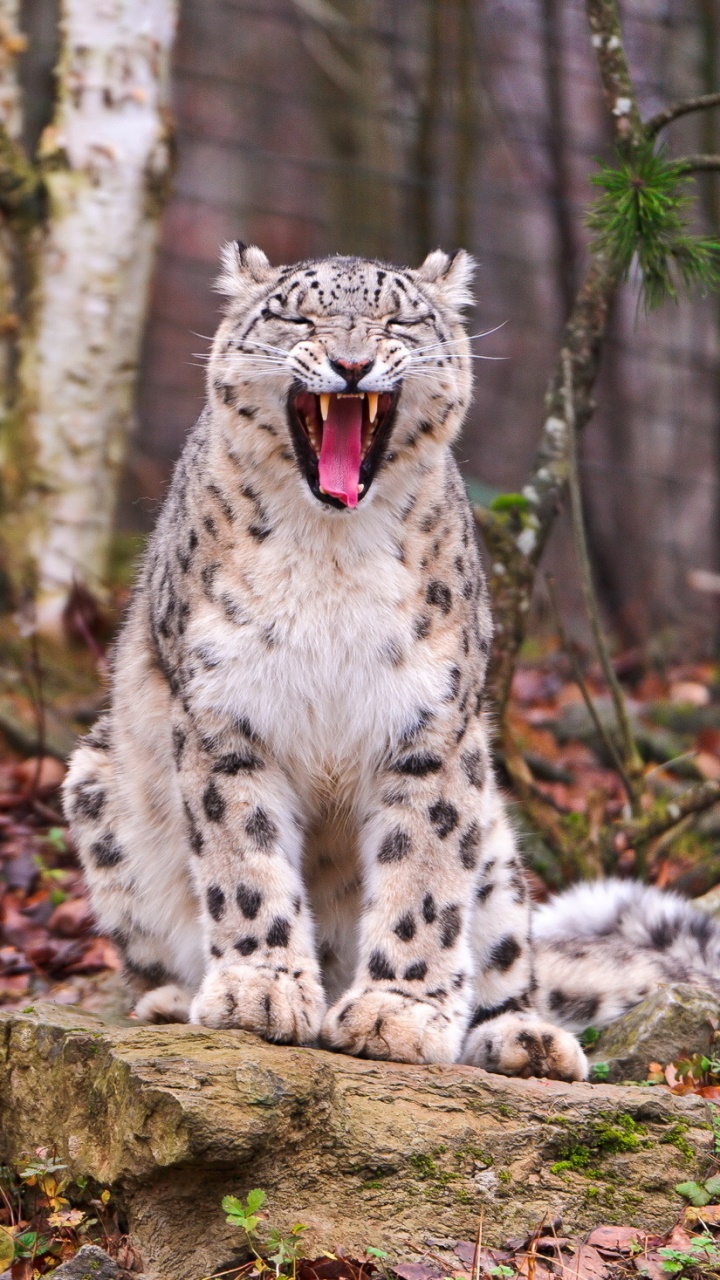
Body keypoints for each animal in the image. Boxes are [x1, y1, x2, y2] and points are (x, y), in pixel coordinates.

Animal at [63, 244, 720, 1081]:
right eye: (298, 316)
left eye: (399, 320)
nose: (352, 363)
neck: (333, 549)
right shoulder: (226, 715)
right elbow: (245, 860)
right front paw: (261, 991)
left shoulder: (430, 725)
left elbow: (424, 876)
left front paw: (396, 1014)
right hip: (98, 788)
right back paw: (177, 999)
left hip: (496, 846)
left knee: (509, 961)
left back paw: (524, 1040)